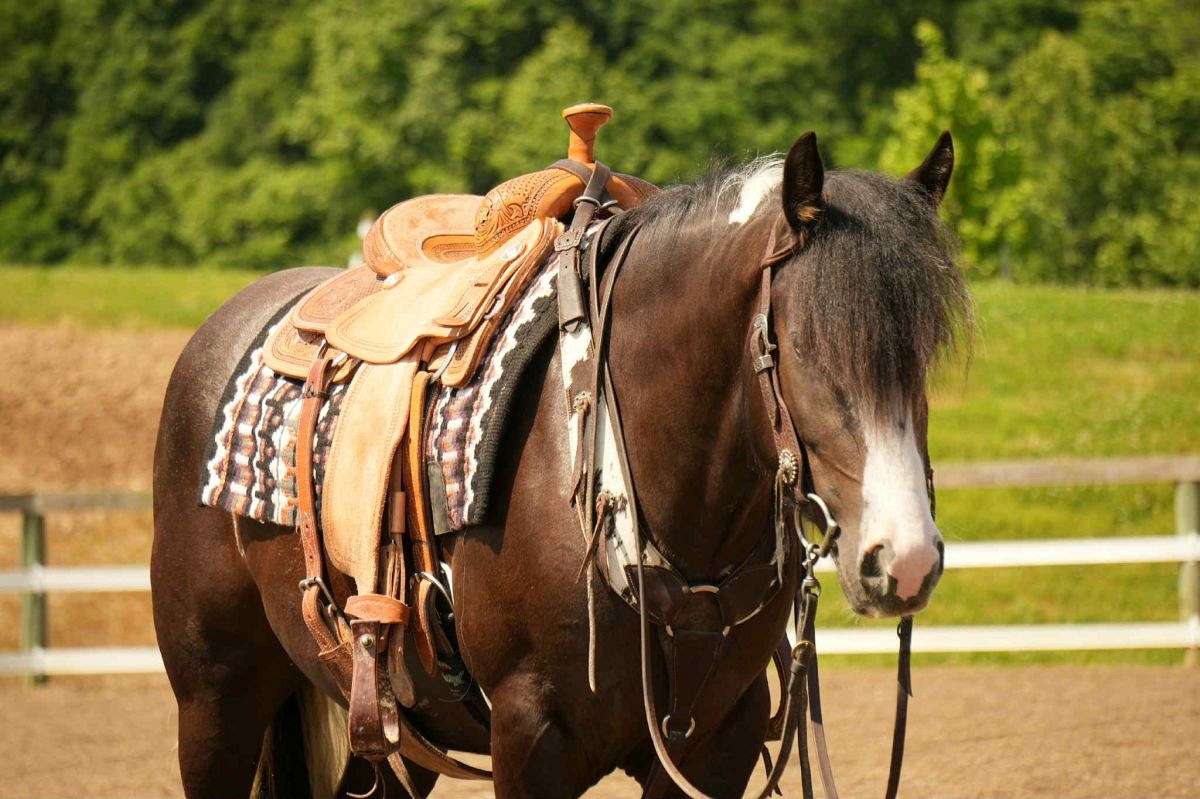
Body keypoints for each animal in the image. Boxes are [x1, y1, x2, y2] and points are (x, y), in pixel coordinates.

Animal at [151, 129, 969, 798]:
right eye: (803, 345)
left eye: (924, 351)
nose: (906, 559)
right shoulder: (529, 735)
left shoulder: (718, 745)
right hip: (216, 701)